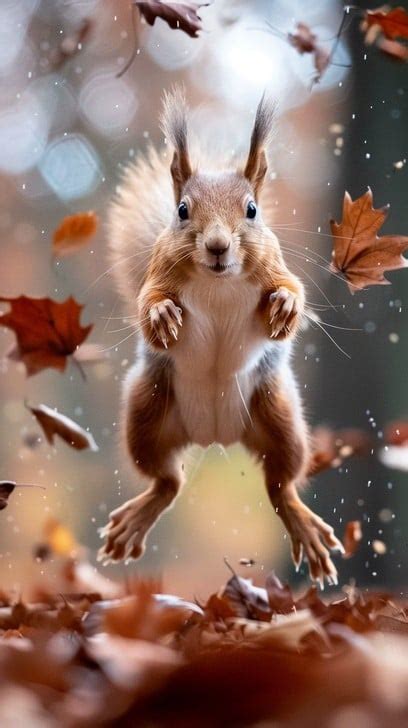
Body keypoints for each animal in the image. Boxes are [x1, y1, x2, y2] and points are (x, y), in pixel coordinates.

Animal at [98, 88, 344, 587]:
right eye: (182, 211)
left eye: (252, 209)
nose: (217, 246)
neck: (217, 280)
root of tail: (215, 435)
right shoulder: (157, 274)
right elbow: (147, 305)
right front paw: (162, 315)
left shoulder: (276, 267)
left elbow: (292, 293)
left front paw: (285, 307)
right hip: (147, 410)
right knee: (167, 480)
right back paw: (137, 518)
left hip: (278, 413)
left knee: (281, 481)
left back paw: (303, 525)